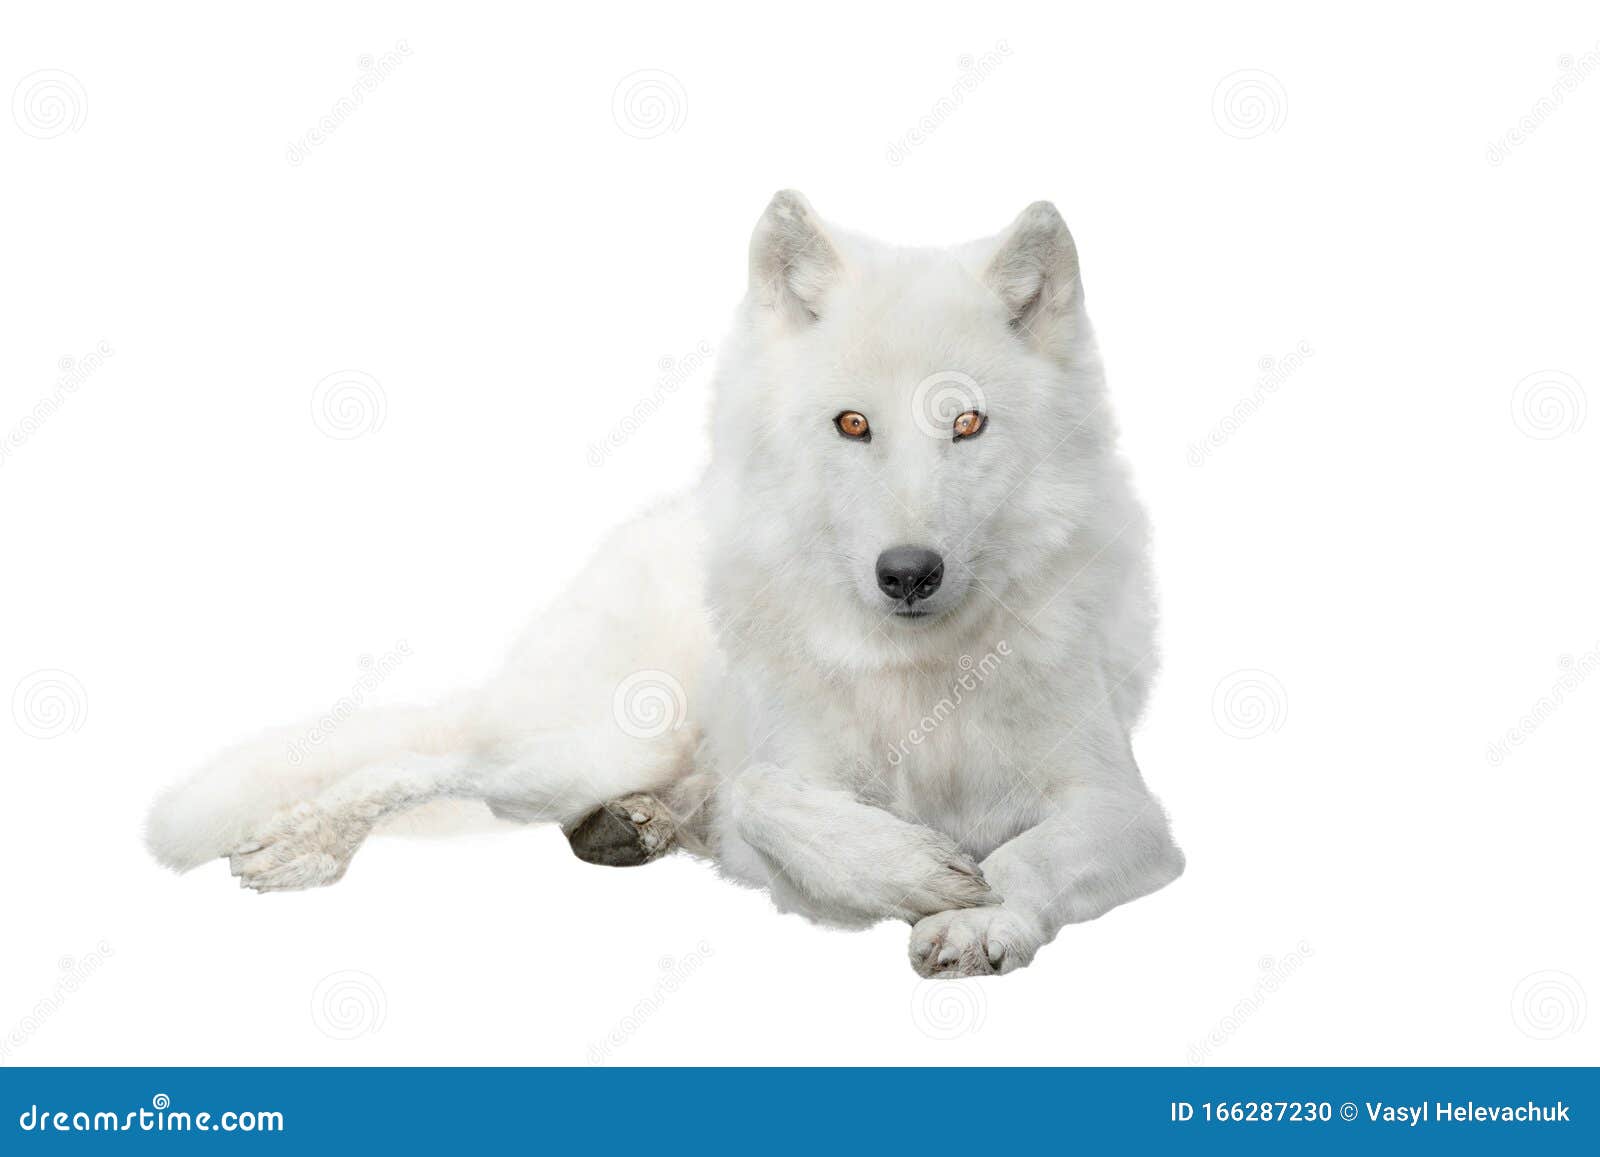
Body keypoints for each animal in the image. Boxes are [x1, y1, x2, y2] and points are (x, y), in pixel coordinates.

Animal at [145, 192, 1184, 977]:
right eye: (853, 424)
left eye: (967, 424)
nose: (908, 572)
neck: (920, 680)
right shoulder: (786, 818)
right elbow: (764, 793)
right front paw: (918, 875)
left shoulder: (1128, 811)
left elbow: (1031, 850)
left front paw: (981, 915)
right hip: (601, 740)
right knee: (424, 763)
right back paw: (300, 848)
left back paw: (632, 825)